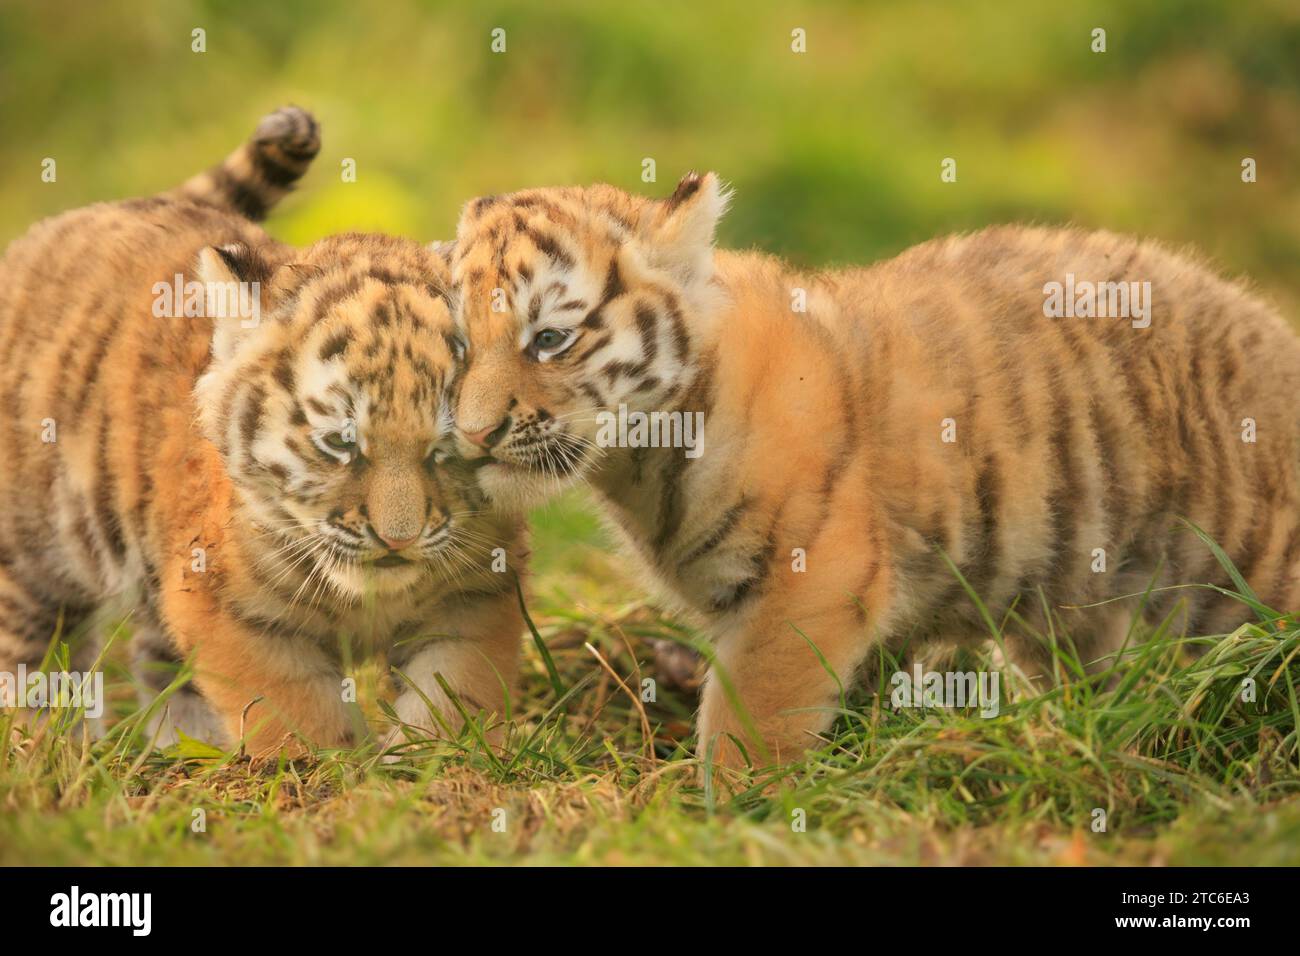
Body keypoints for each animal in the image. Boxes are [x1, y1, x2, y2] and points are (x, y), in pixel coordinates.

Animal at [0, 108, 525, 759]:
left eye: (448, 446)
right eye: (341, 443)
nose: (398, 539)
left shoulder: (474, 596)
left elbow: (455, 687)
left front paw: (441, 761)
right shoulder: (226, 607)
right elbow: (294, 707)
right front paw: (327, 770)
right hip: (36, 552)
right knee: (34, 656)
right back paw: (46, 750)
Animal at [444, 171, 1300, 770]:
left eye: (550, 339)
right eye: (458, 343)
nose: (475, 433)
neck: (638, 460)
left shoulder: (812, 580)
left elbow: (750, 723)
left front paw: (731, 814)